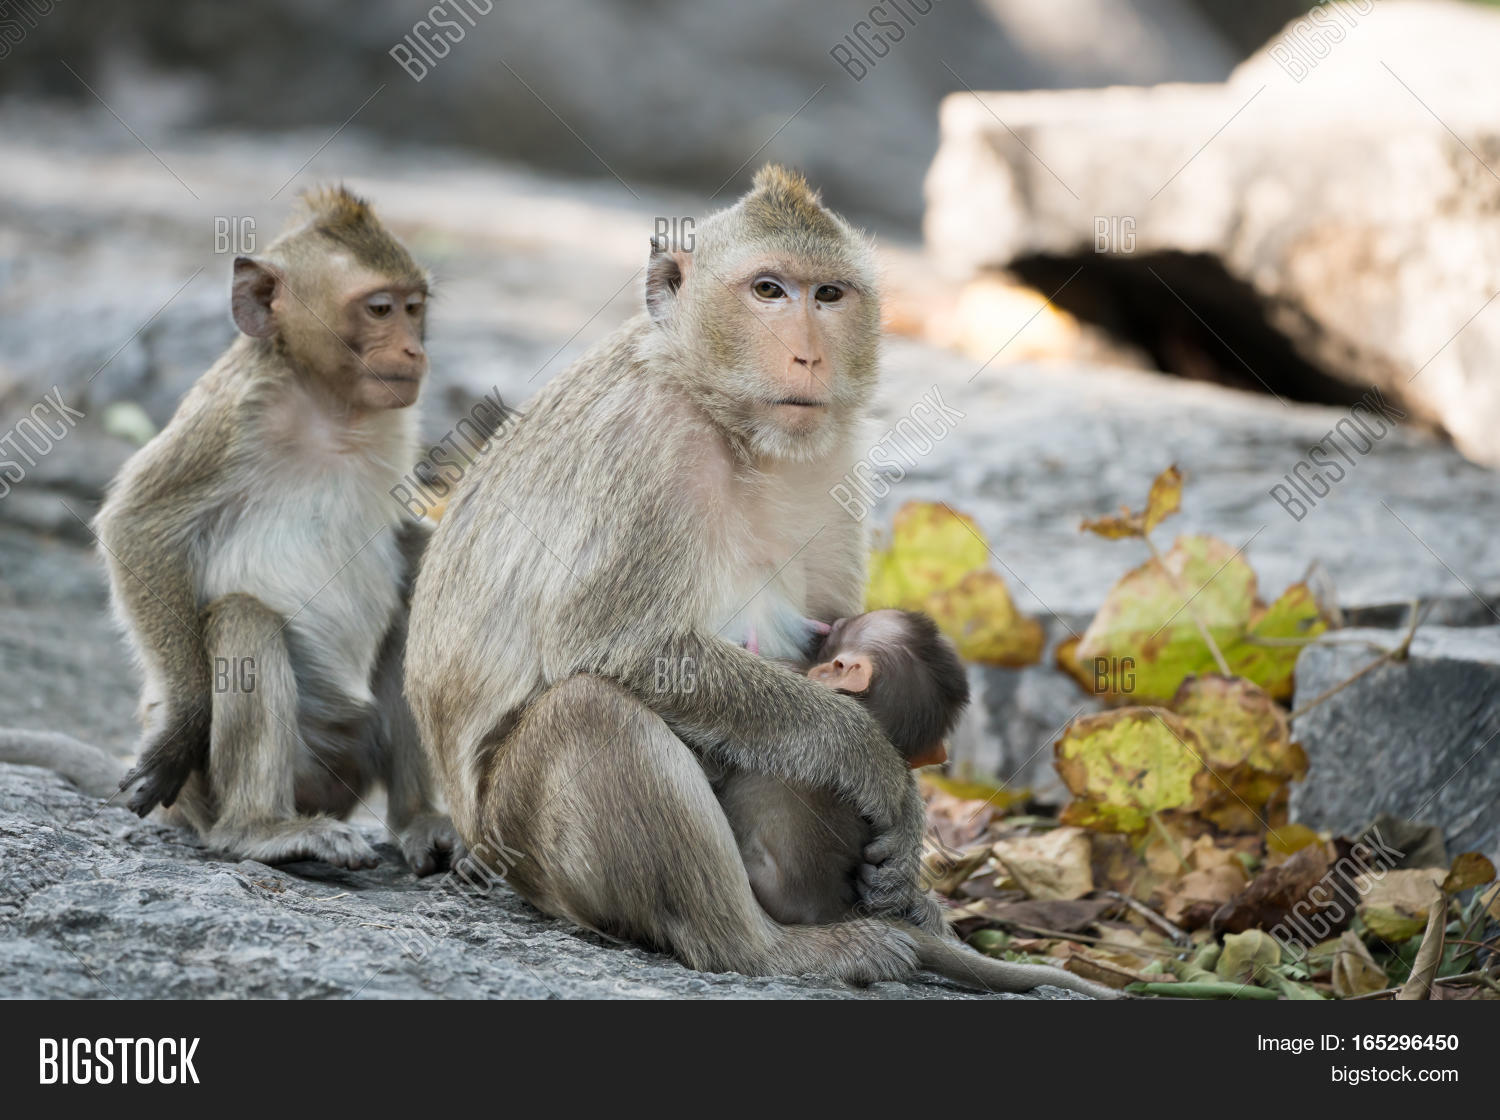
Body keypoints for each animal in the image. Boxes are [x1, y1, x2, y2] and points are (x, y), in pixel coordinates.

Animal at [1, 187, 457, 874]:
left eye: (414, 308)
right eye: (379, 309)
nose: (416, 352)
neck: (330, 405)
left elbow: (410, 540)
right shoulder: (231, 414)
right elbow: (137, 526)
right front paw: (182, 726)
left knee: (409, 607)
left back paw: (418, 820)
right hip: (217, 787)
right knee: (244, 620)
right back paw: (262, 829)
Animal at [404, 165, 1117, 997]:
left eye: (829, 295)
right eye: (769, 290)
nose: (807, 356)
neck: (735, 428)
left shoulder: (836, 454)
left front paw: (911, 867)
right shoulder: (649, 444)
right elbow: (618, 645)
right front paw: (866, 758)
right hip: (519, 844)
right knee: (592, 712)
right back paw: (760, 950)